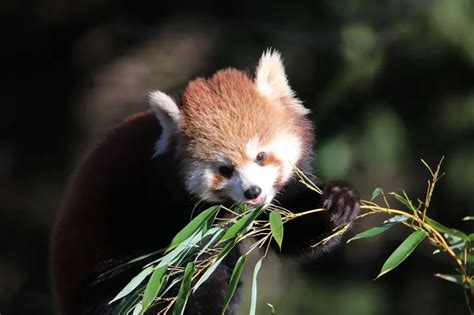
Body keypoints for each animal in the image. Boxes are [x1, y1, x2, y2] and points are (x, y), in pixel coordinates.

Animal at [51, 50, 360, 314]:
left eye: (260, 156)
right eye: (225, 169)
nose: (253, 192)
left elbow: (289, 228)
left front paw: (338, 202)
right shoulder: (153, 200)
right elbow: (185, 271)